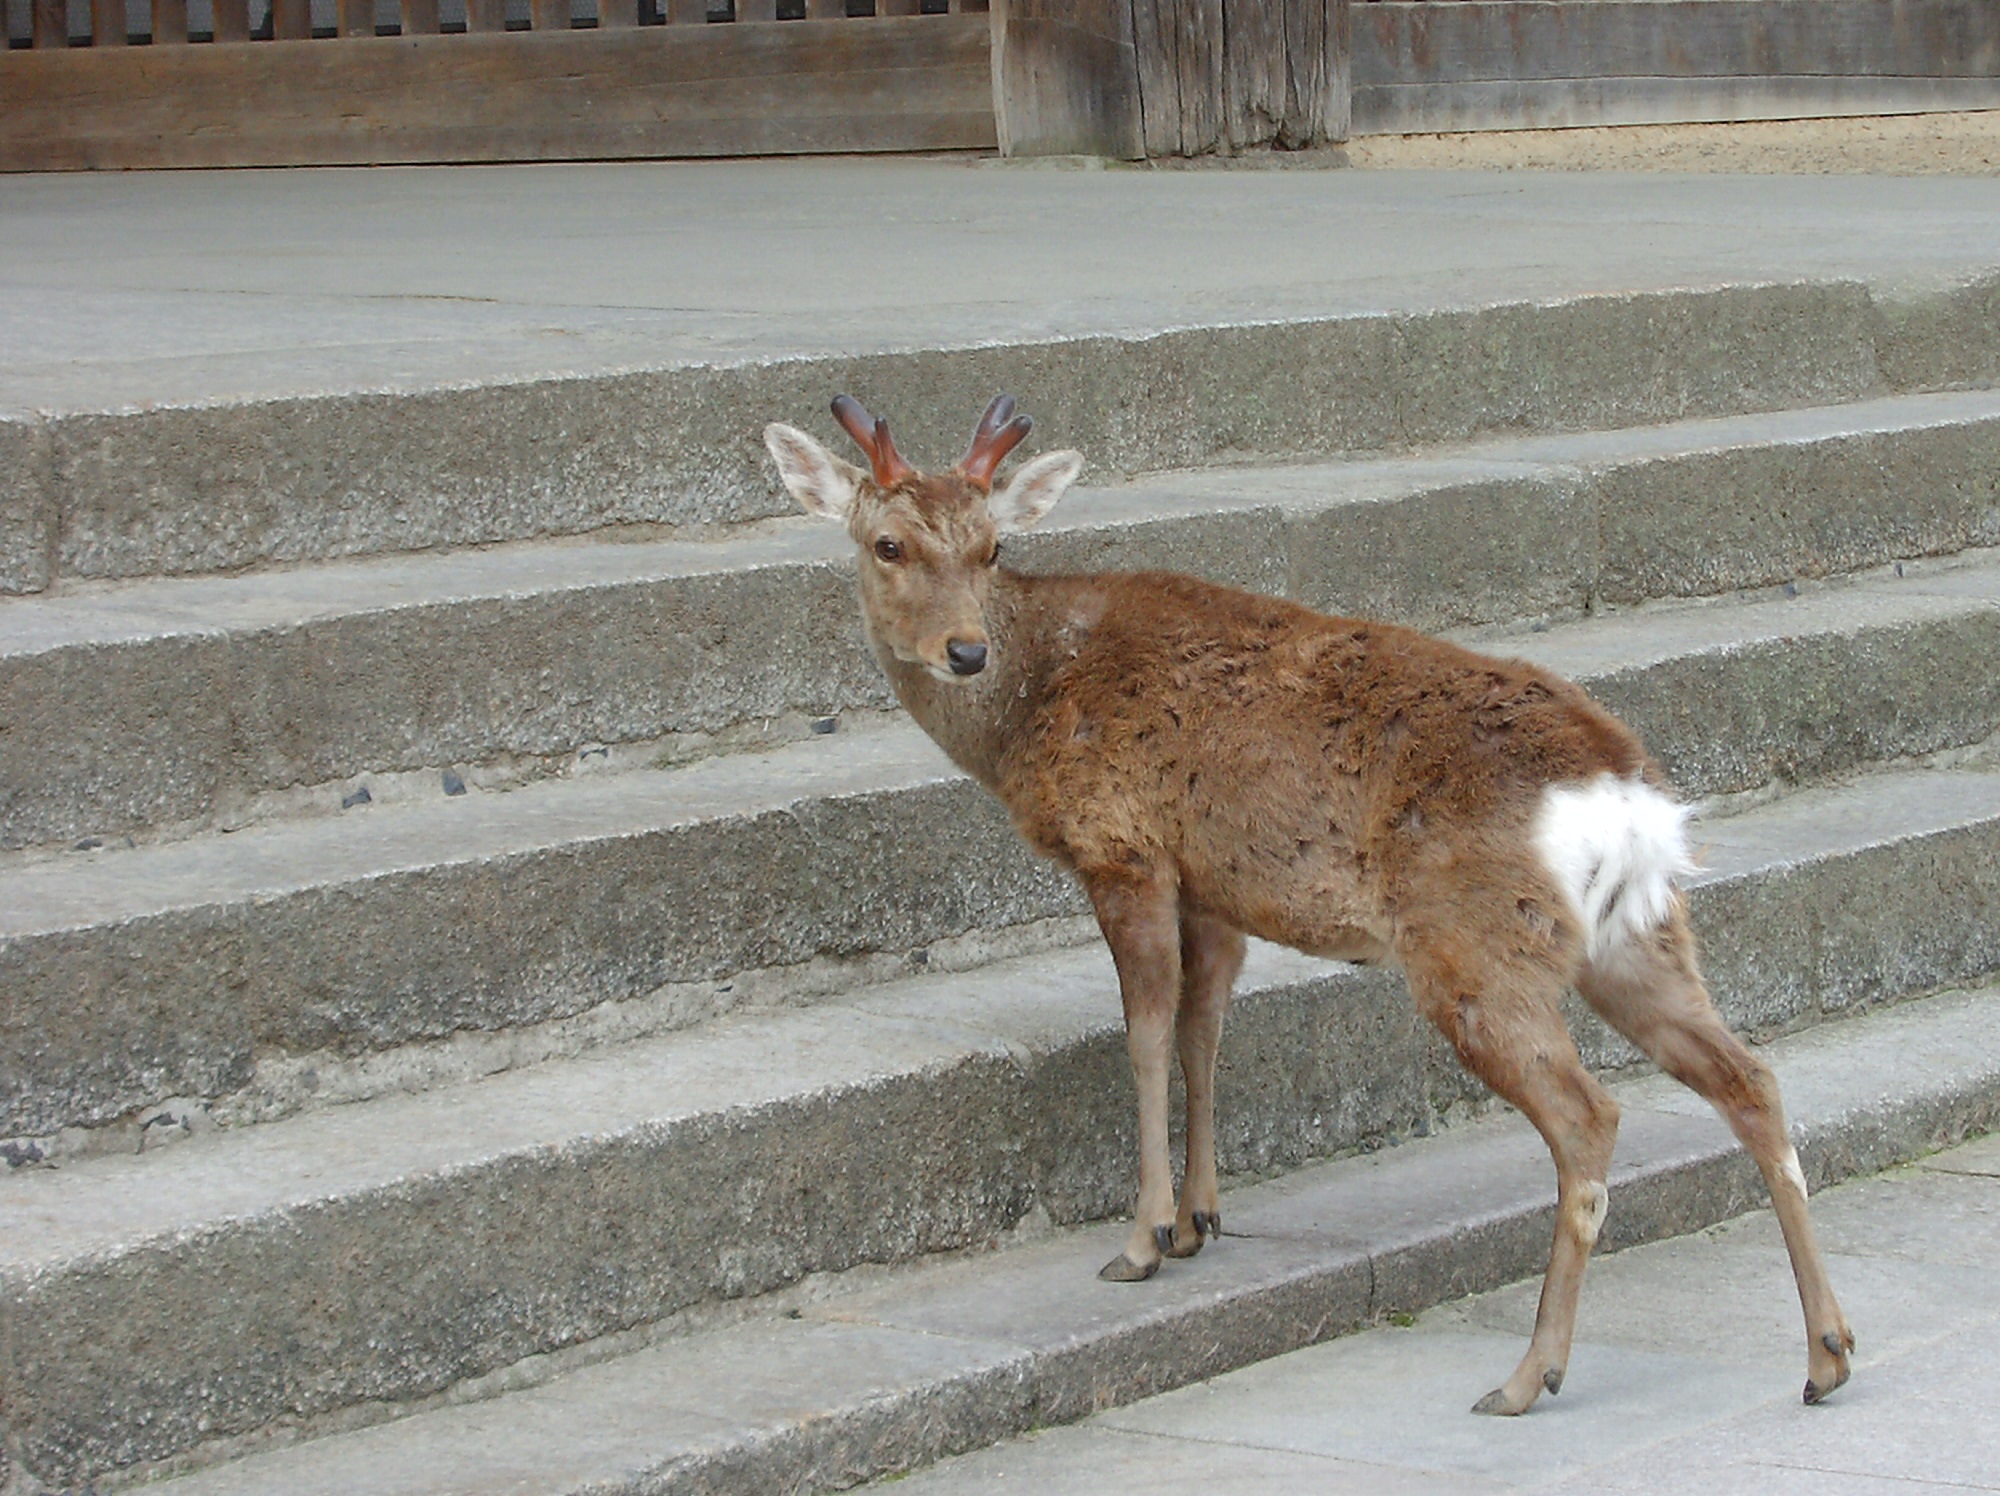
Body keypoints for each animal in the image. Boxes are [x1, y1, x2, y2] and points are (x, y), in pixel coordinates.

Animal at [763, 394, 1854, 1416]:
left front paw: (1142, 1238)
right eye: (888, 543)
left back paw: (1527, 1373)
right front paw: (1201, 1217)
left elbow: (1146, 1033)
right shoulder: (1213, 882)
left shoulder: (1125, 848)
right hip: (1637, 937)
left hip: (1474, 944)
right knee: (1750, 1077)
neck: (1030, 712)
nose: (963, 651)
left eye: (993, 548)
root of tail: (1624, 796)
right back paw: (1826, 1353)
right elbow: (1204, 1030)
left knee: (1589, 1116)